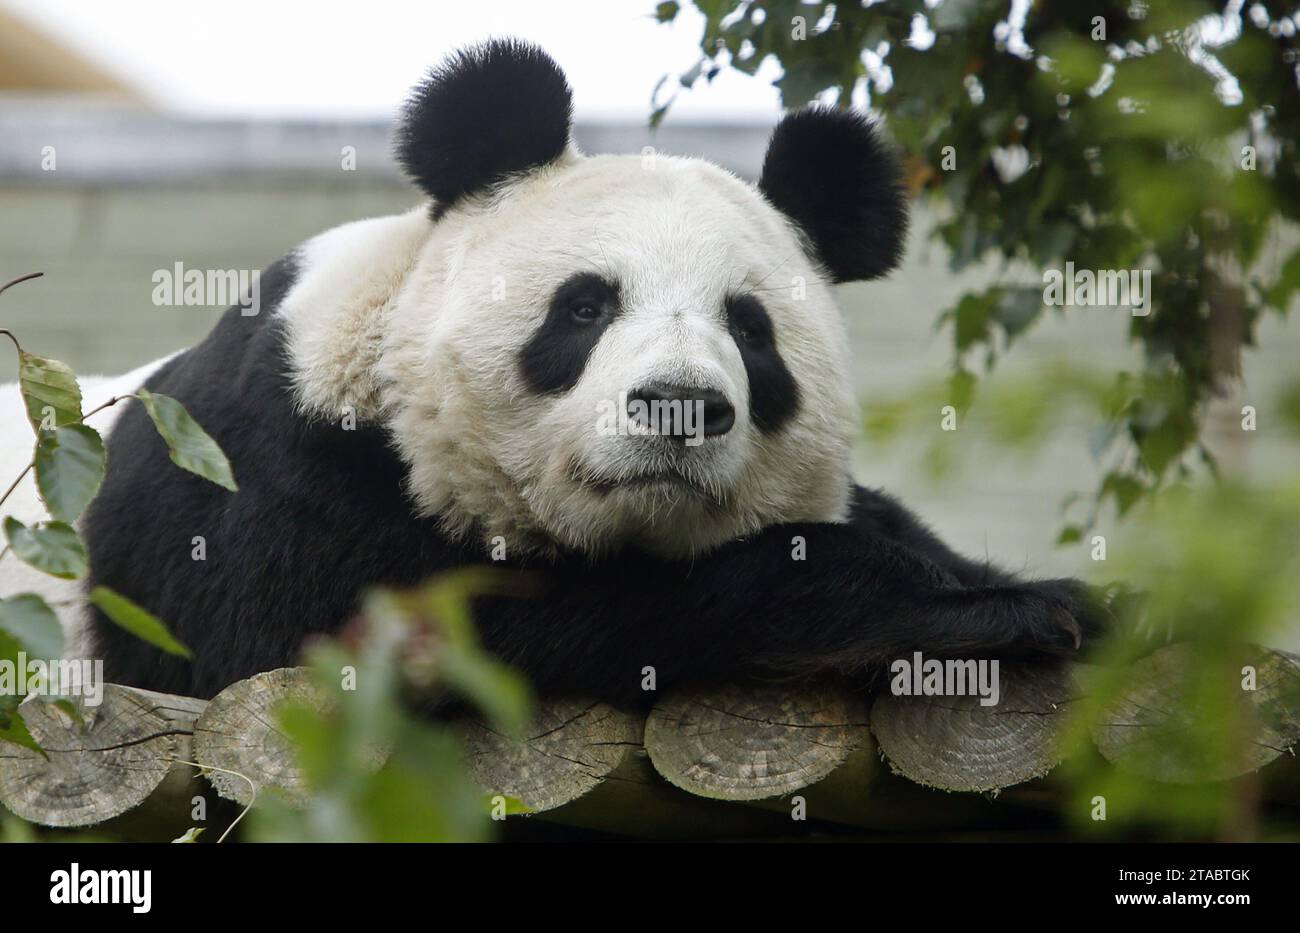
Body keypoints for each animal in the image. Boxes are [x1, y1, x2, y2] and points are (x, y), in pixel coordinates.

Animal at [6, 39, 1107, 703]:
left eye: (751, 330)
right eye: (585, 307)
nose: (679, 406)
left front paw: (1034, 593)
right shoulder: (270, 480)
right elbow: (458, 634)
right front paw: (979, 613)